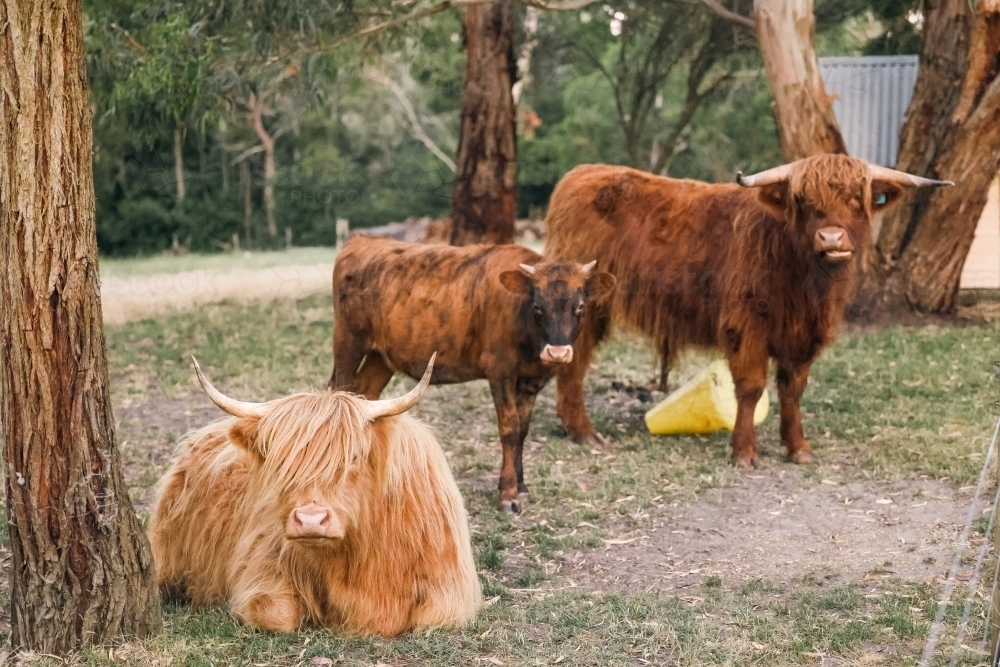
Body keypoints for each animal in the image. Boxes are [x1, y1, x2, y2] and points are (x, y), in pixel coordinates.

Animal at [149, 355, 483, 636]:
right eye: (280, 462)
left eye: (354, 457)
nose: (310, 520)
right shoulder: (261, 568)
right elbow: (276, 615)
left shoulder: (451, 588)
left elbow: (430, 619)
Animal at [329, 235, 616, 514]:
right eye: (537, 306)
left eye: (579, 307)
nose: (557, 353)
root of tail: (363, 240)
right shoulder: (500, 371)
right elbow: (510, 429)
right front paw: (508, 493)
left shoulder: (530, 379)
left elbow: (523, 430)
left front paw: (521, 485)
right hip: (348, 345)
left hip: (380, 358)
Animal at [544, 153, 951, 468]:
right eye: (802, 200)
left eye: (856, 198)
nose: (832, 238)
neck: (804, 279)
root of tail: (582, 173)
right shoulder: (746, 326)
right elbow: (752, 388)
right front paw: (743, 452)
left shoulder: (804, 335)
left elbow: (793, 390)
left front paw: (798, 448)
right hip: (584, 309)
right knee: (574, 364)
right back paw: (584, 432)